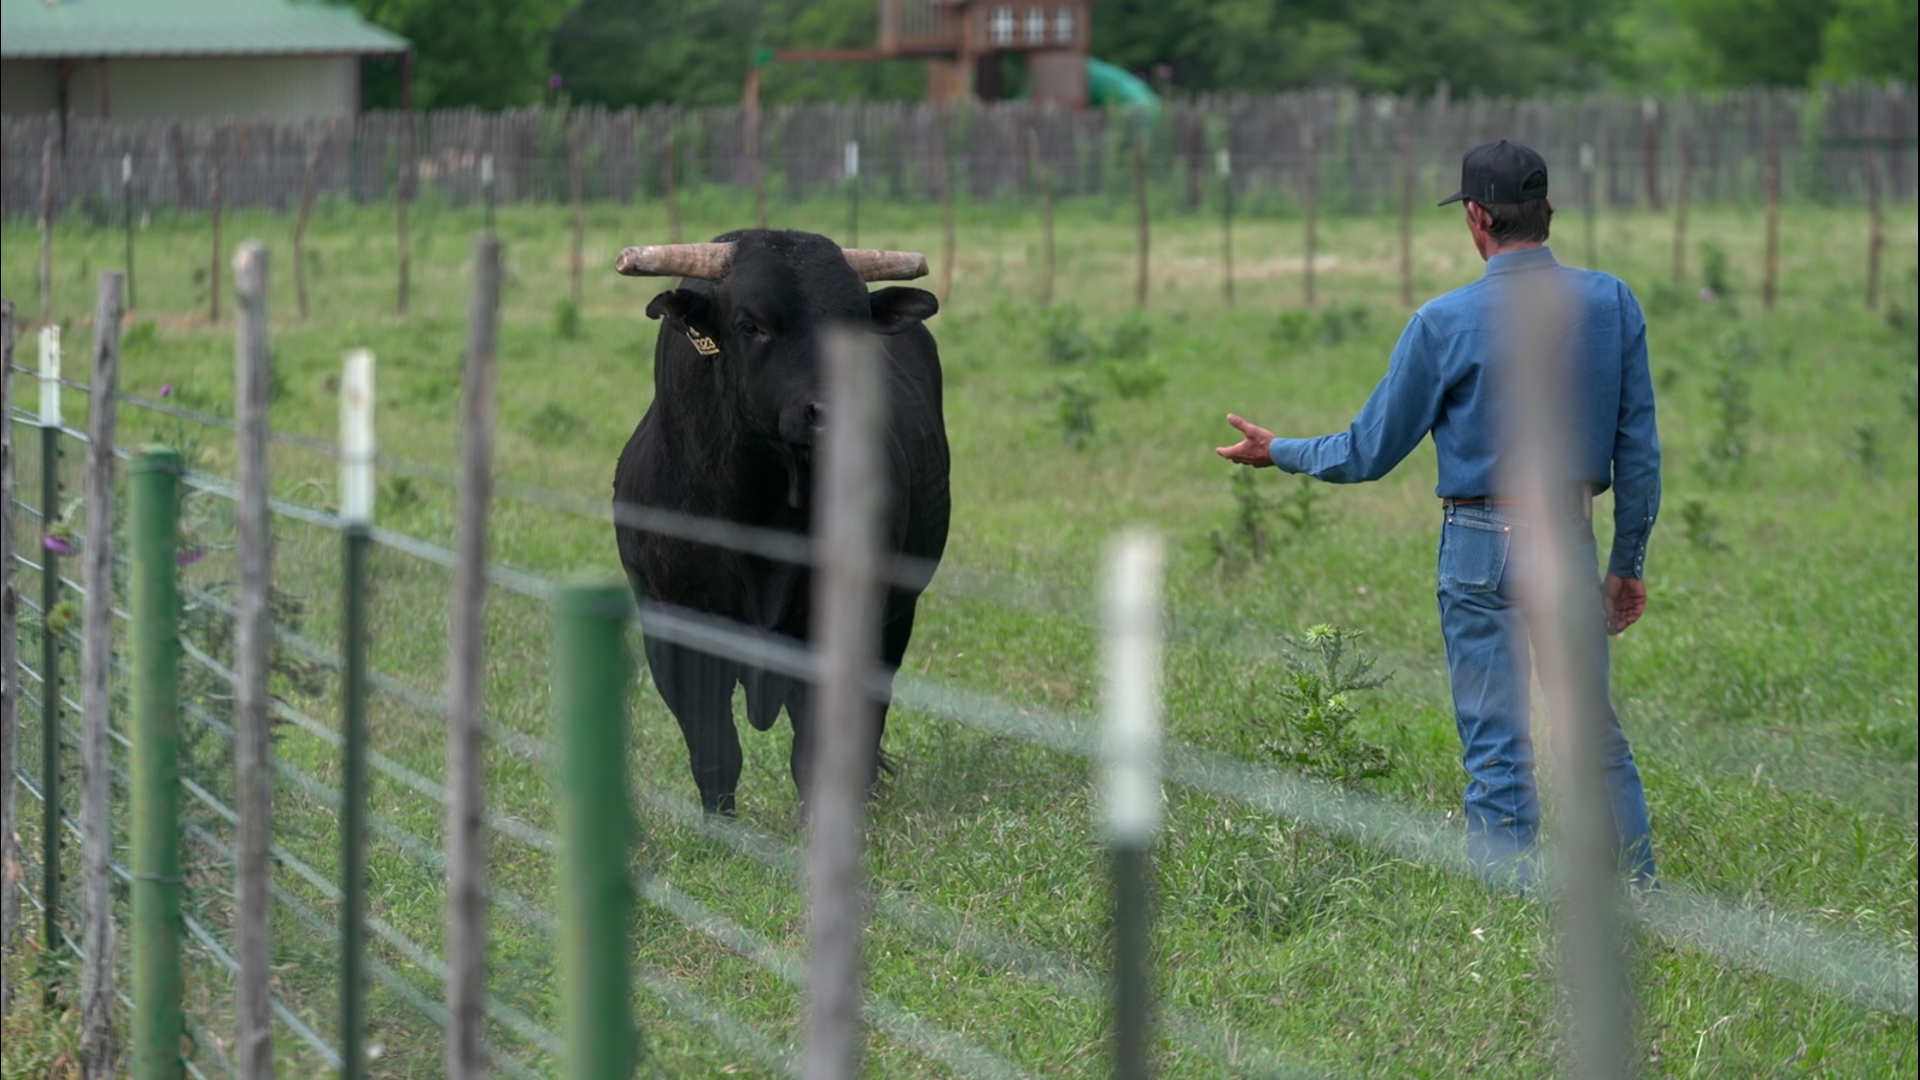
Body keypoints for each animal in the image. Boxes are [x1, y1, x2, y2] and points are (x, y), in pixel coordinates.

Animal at [611, 229, 951, 816]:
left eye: (856, 324)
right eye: (751, 325)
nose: (831, 412)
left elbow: (816, 751)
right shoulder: (673, 628)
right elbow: (714, 748)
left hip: (895, 617)